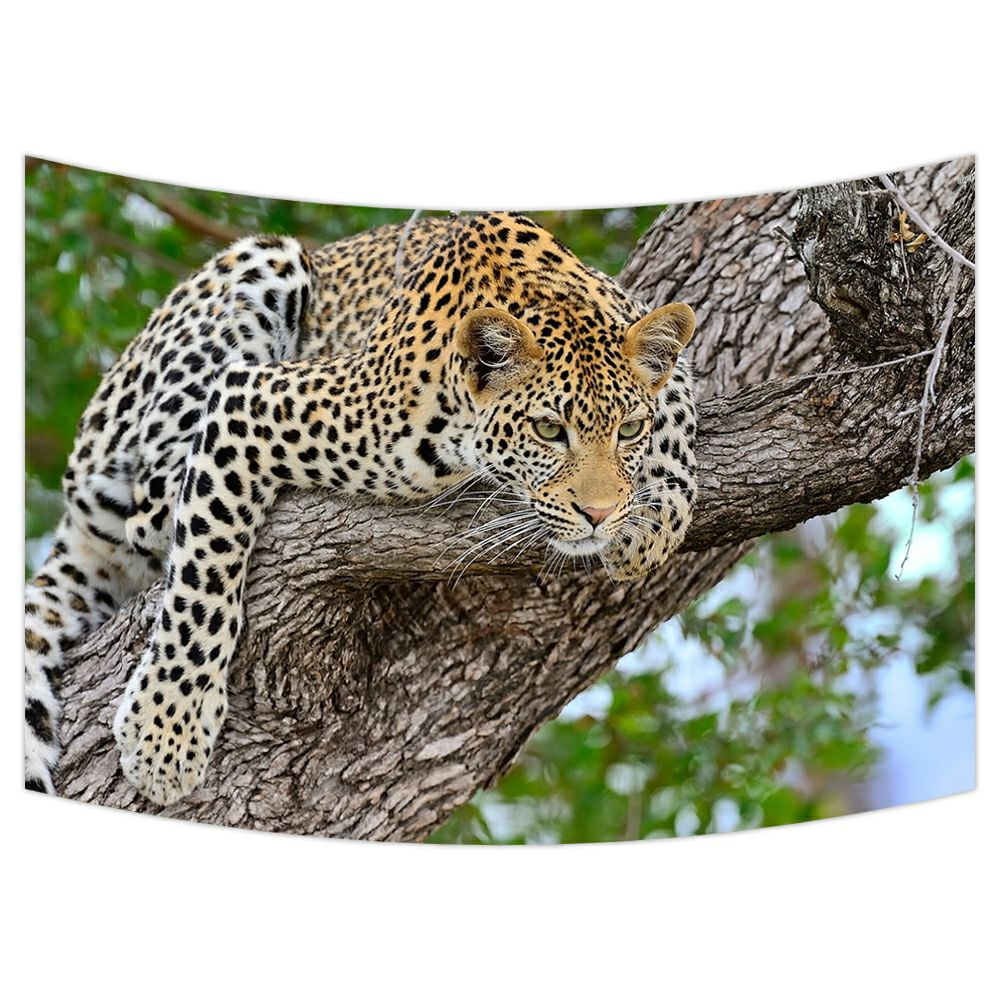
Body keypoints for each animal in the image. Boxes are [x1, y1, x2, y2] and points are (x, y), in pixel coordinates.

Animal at [24, 211, 698, 805]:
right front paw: (168, 732)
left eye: (630, 430)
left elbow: (678, 399)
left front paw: (655, 516)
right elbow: (202, 582)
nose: (600, 516)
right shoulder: (251, 401)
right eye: (548, 430)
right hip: (257, 271)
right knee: (150, 504)